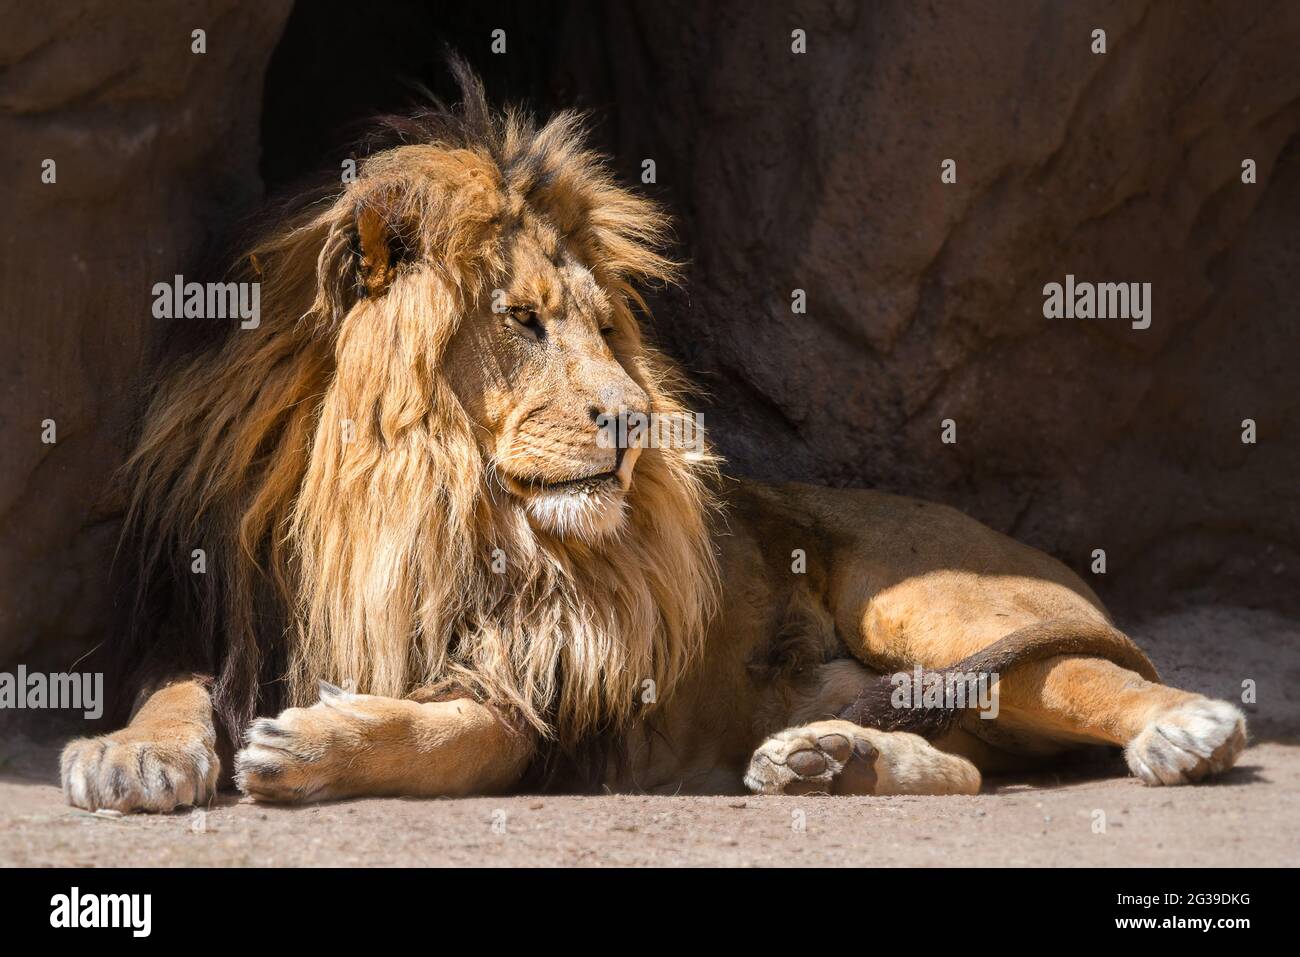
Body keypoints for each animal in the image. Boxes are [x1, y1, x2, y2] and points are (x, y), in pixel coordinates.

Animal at [61, 63, 1247, 812]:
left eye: (601, 325)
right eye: (522, 319)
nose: (638, 421)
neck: (407, 493)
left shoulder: (536, 699)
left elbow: (440, 732)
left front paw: (313, 741)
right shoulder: (218, 618)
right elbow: (169, 688)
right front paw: (127, 760)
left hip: (927, 600)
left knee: (1090, 671)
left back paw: (1187, 729)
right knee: (965, 769)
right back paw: (829, 762)